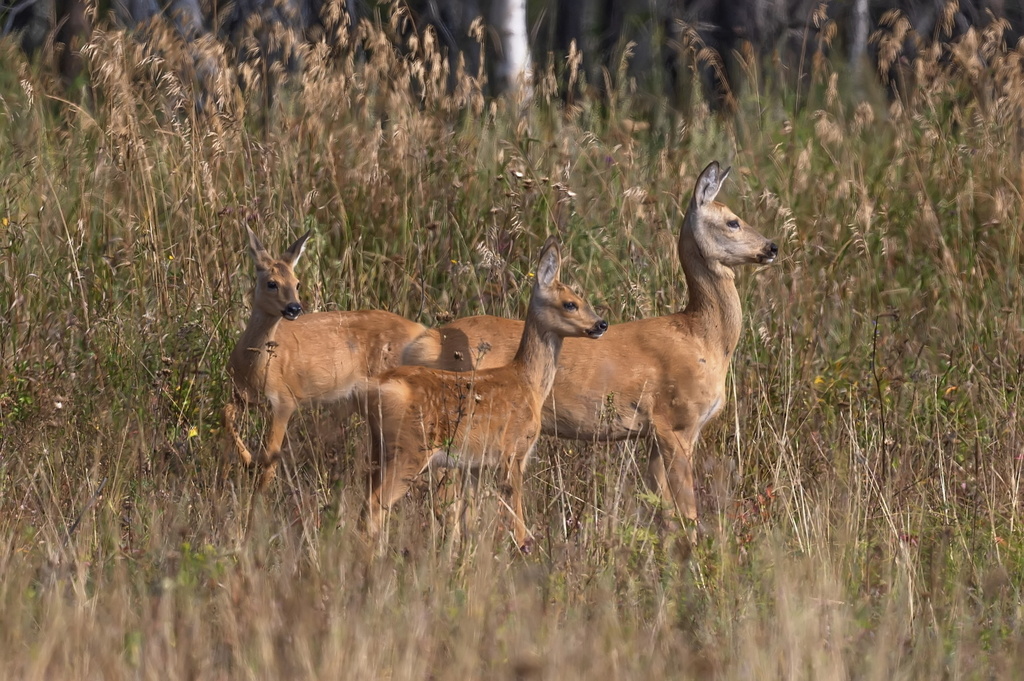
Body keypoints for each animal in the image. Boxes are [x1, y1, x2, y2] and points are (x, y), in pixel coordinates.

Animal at [224, 227, 427, 489]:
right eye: (272, 283)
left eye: (297, 283)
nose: (294, 308)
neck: (254, 368)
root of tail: (420, 329)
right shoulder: (240, 394)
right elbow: (226, 415)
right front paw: (248, 460)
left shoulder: (285, 398)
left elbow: (271, 453)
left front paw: (260, 492)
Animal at [360, 238, 607, 551]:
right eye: (570, 304)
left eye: (583, 299)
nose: (601, 324)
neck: (528, 384)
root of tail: (377, 387)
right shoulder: (514, 449)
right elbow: (515, 509)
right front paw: (524, 546)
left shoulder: (475, 462)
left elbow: (470, 516)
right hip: (411, 448)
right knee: (375, 505)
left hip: (379, 447)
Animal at [402, 161, 778, 532]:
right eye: (733, 221)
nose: (772, 247)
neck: (703, 337)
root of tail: (427, 341)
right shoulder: (676, 422)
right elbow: (687, 511)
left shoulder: (655, 434)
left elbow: (666, 513)